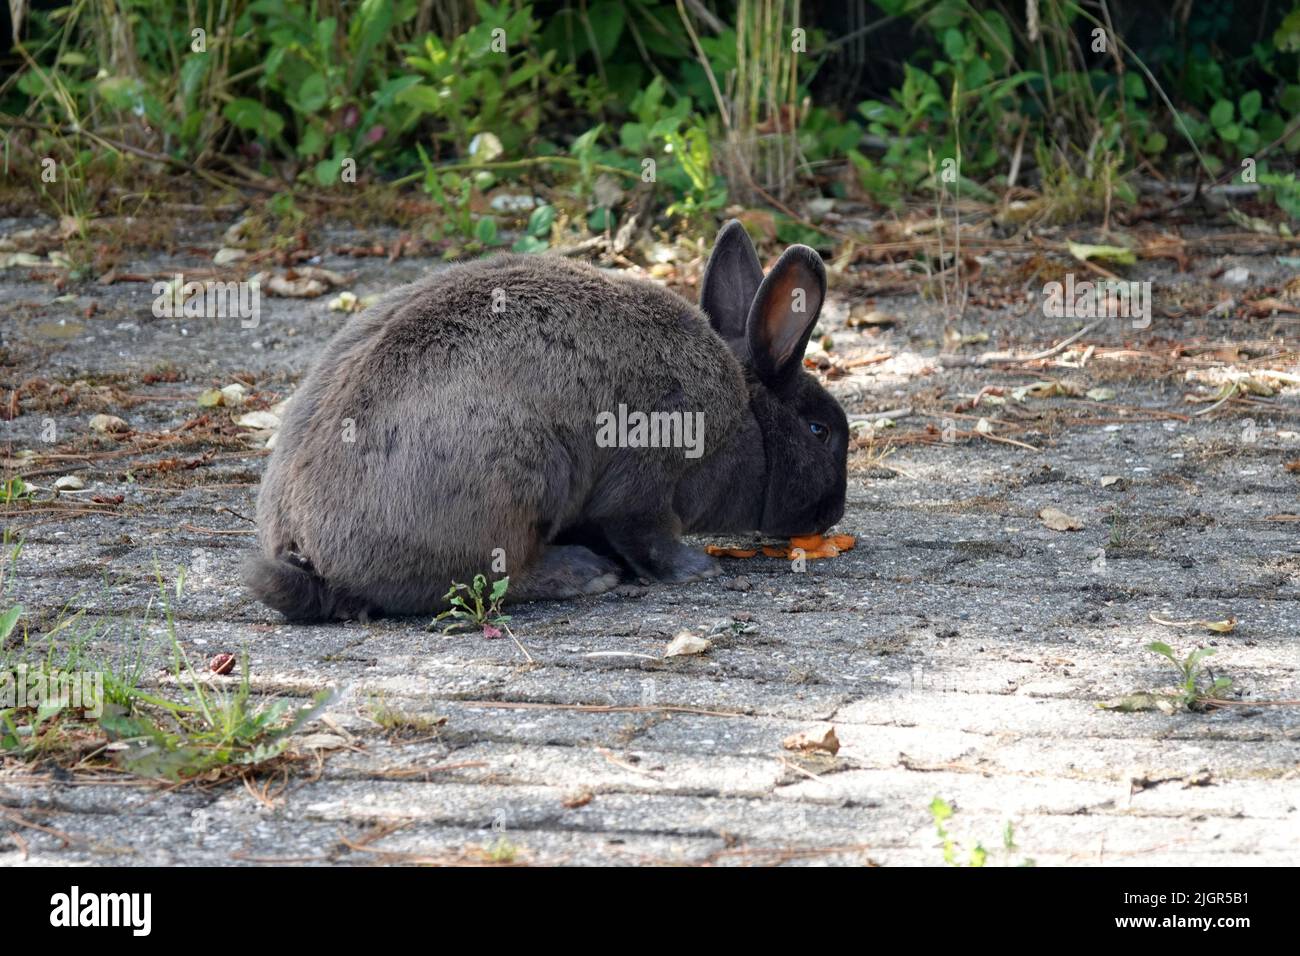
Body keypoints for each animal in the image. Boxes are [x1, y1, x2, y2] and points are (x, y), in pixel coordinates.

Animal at [245, 220, 847, 621]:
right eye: (820, 432)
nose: (832, 515)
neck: (746, 420)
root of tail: (306, 551)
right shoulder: (649, 477)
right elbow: (645, 533)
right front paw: (696, 570)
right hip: (521, 478)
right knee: (498, 575)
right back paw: (585, 573)